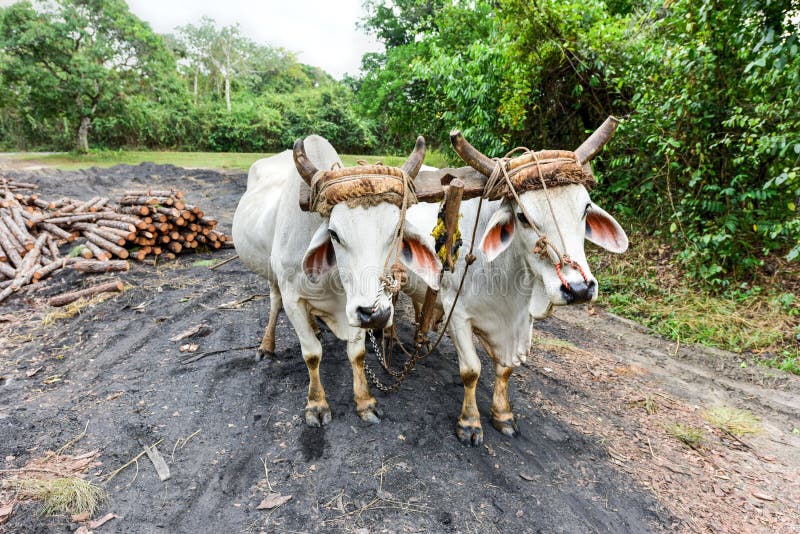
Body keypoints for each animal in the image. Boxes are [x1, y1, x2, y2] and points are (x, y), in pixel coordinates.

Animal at [232, 135, 441, 427]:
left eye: (398, 231)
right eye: (333, 234)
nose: (375, 314)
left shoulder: (352, 307)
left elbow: (357, 353)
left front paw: (365, 402)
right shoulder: (293, 299)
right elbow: (311, 353)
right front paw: (317, 404)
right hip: (272, 275)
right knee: (274, 303)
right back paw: (266, 345)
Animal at [403, 118, 628, 445]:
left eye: (585, 209)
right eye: (522, 216)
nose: (578, 289)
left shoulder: (520, 322)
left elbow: (506, 369)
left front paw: (502, 414)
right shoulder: (457, 313)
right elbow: (471, 370)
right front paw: (470, 422)